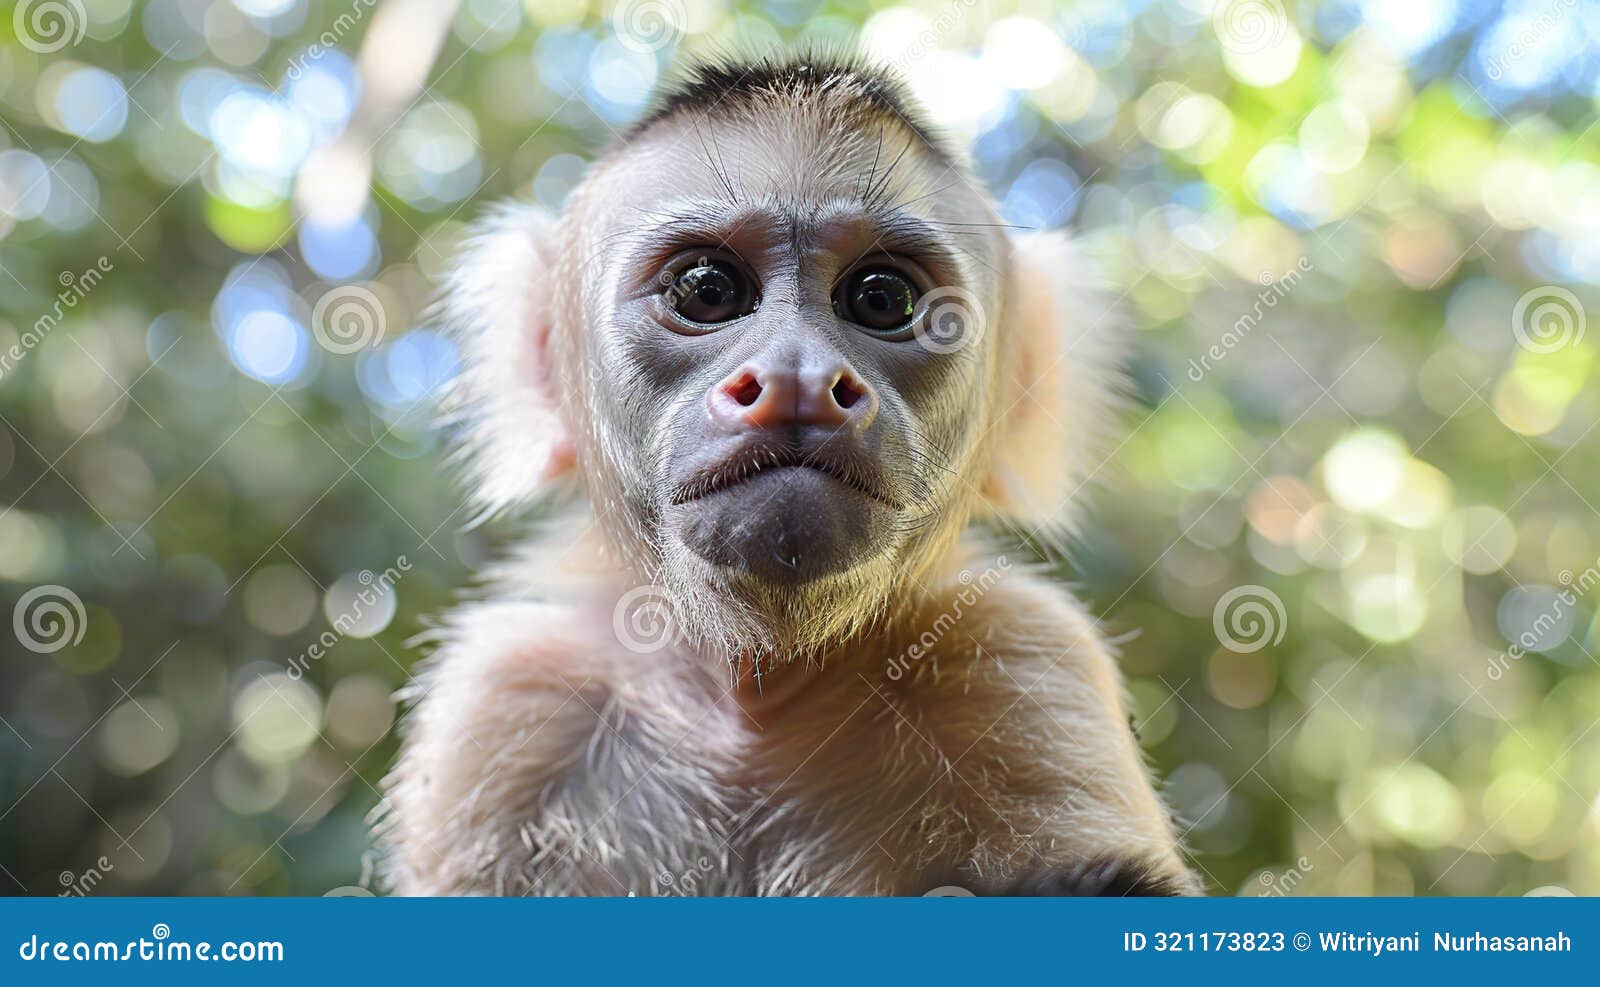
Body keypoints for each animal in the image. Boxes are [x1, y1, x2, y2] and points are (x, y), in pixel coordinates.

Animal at [378, 51, 1199, 897]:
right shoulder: (507, 700)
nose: (798, 378)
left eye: (882, 297)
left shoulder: (1022, 657)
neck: (756, 701)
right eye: (707, 289)